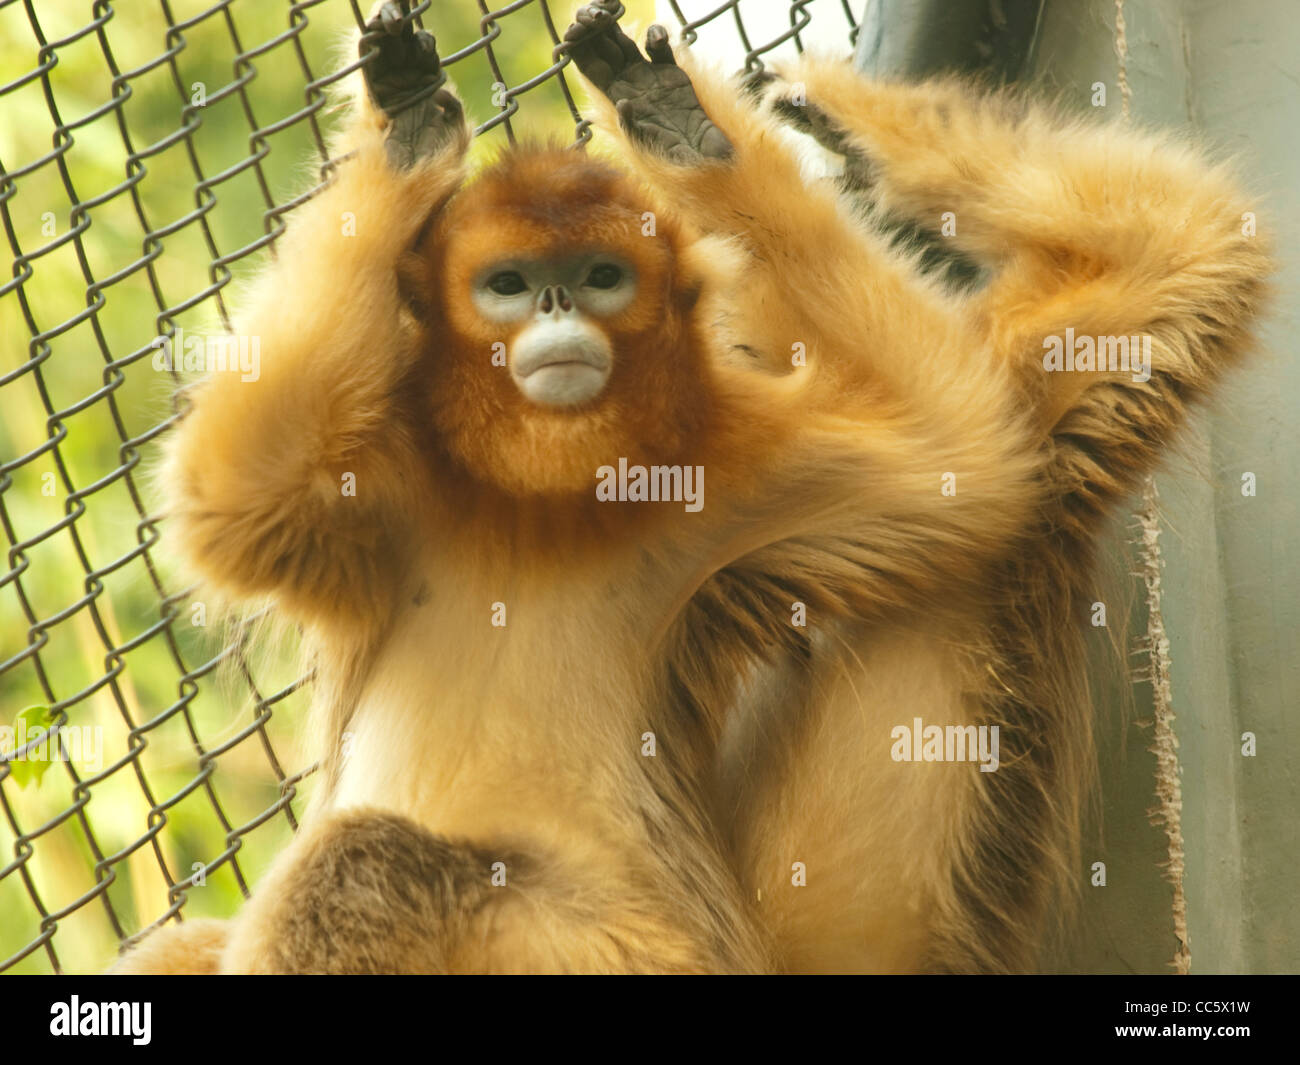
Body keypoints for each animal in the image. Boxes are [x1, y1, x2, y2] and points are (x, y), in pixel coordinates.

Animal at [112, 1, 1270, 974]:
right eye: (507, 285)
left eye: (600, 277)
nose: (555, 312)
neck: (541, 504)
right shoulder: (380, 493)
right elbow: (233, 492)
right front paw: (403, 130)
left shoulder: (737, 484)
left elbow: (965, 451)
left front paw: (681, 128)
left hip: (618, 954)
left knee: (360, 867)